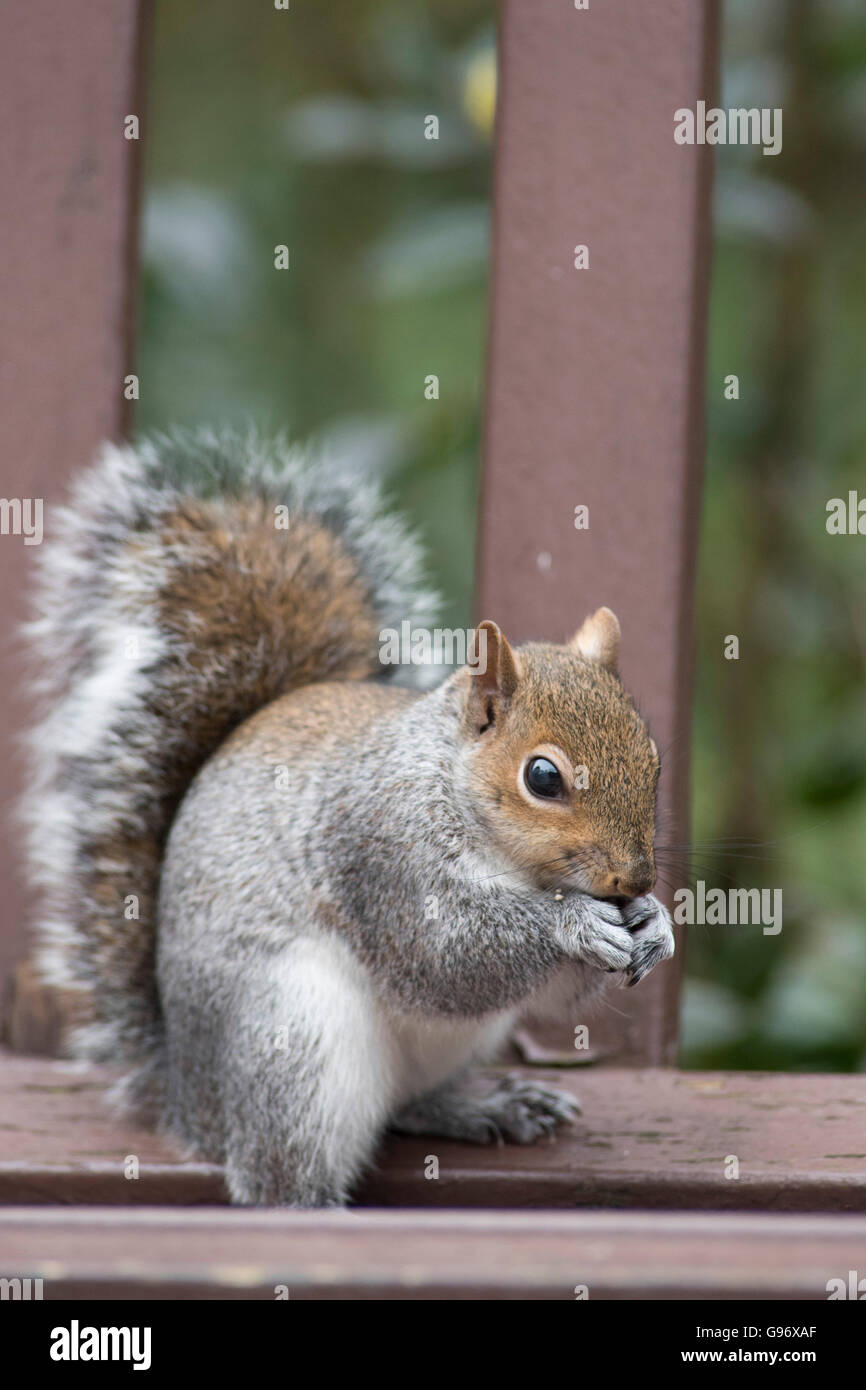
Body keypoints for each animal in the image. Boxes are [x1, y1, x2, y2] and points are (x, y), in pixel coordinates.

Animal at [24, 427, 674, 1207]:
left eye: (654, 757)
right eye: (542, 777)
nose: (633, 880)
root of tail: (190, 1098)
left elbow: (551, 991)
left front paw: (655, 925)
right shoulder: (380, 849)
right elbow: (443, 955)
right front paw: (573, 922)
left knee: (408, 1105)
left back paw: (483, 1105)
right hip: (294, 1041)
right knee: (278, 1170)